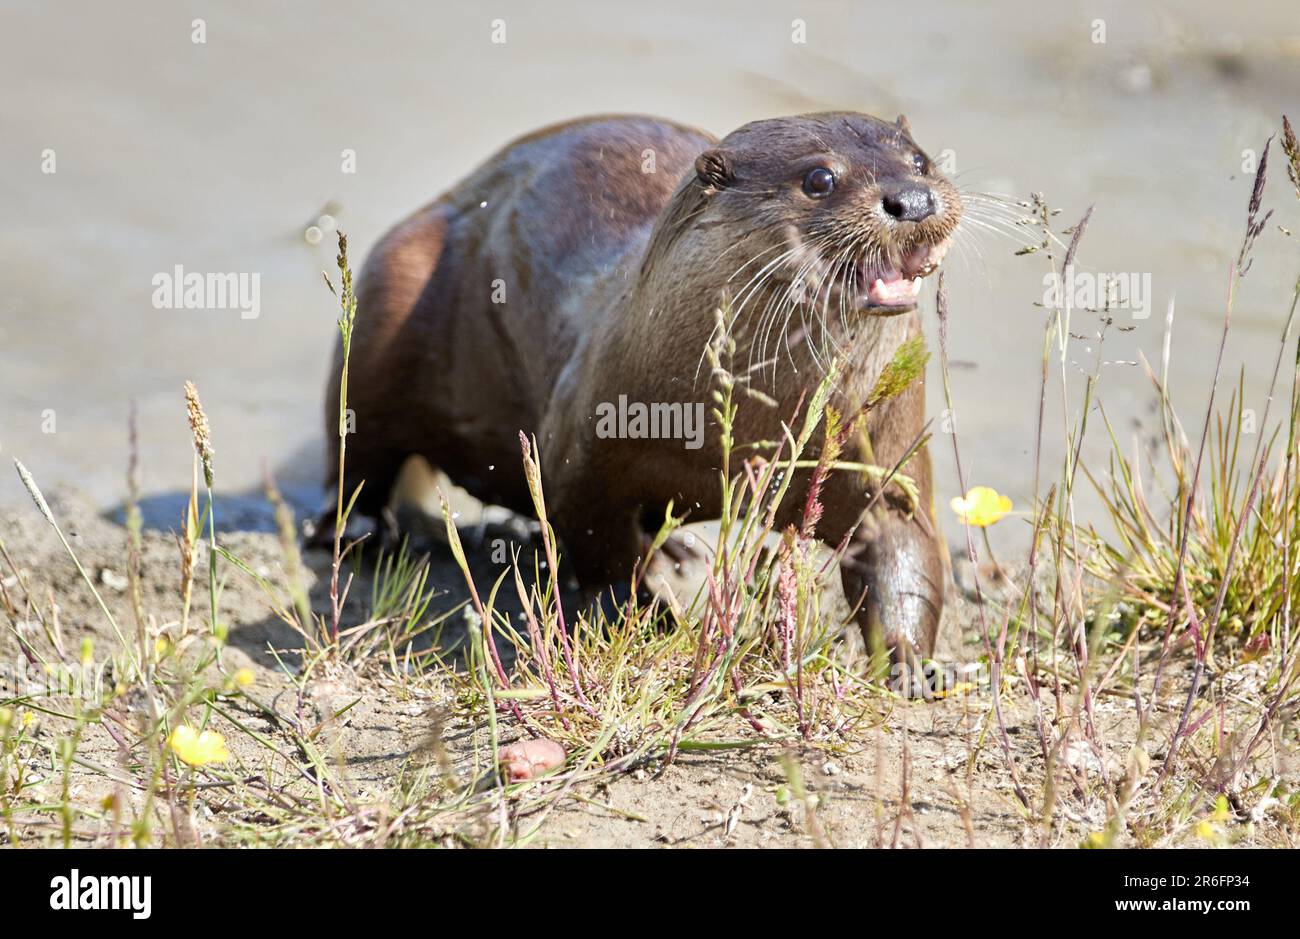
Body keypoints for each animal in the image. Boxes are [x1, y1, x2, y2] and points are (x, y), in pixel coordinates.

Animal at [316, 112, 961, 671]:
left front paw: (911, 663)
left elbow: (905, 548)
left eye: (920, 160)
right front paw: (643, 612)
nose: (913, 199)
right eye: (819, 179)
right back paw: (357, 533)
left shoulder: (888, 459)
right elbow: (597, 545)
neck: (748, 435)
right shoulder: (583, 445)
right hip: (391, 290)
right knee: (358, 449)